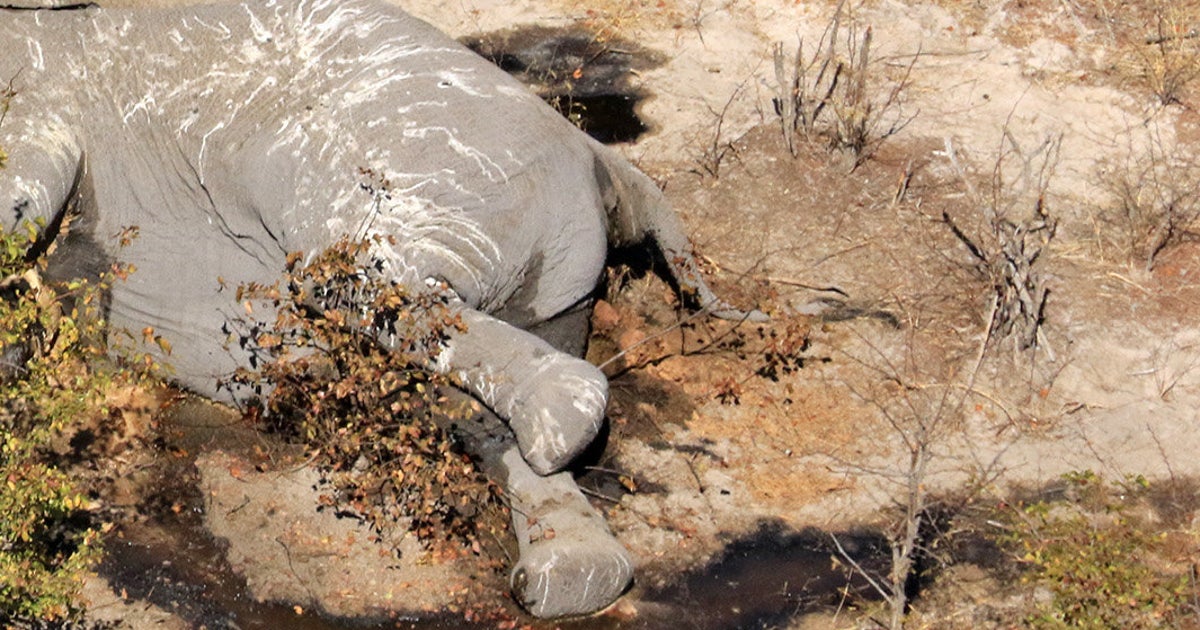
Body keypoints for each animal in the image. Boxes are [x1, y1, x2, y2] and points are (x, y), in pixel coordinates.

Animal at [0, 0, 763, 618]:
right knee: (456, 404)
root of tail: (608, 163)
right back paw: (573, 572)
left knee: (372, 288)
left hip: (407, 175)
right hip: (550, 280)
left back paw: (562, 428)